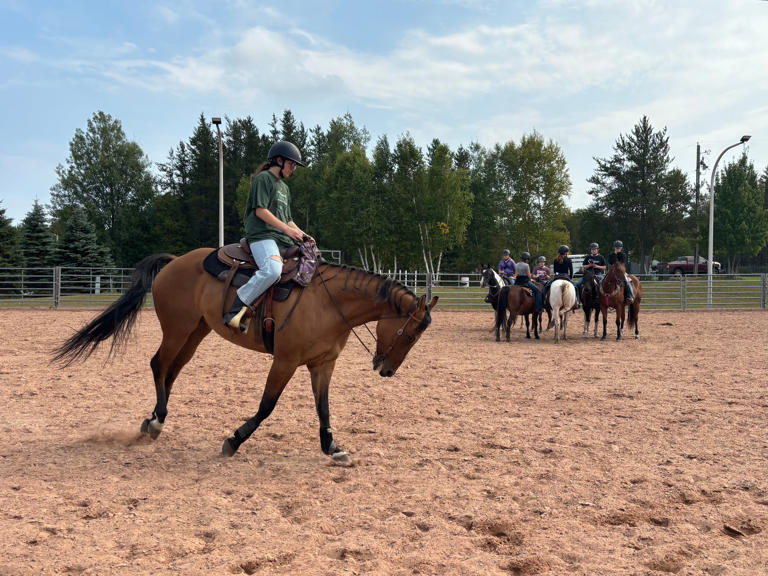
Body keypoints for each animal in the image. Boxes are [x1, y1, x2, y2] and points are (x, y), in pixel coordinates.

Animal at [52, 248, 438, 464]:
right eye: (409, 333)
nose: (386, 370)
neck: (329, 303)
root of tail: (175, 262)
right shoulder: (285, 361)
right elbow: (267, 406)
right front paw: (233, 441)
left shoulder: (322, 364)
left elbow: (324, 408)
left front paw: (332, 447)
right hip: (177, 329)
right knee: (158, 364)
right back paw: (157, 422)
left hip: (196, 333)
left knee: (171, 371)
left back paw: (151, 421)